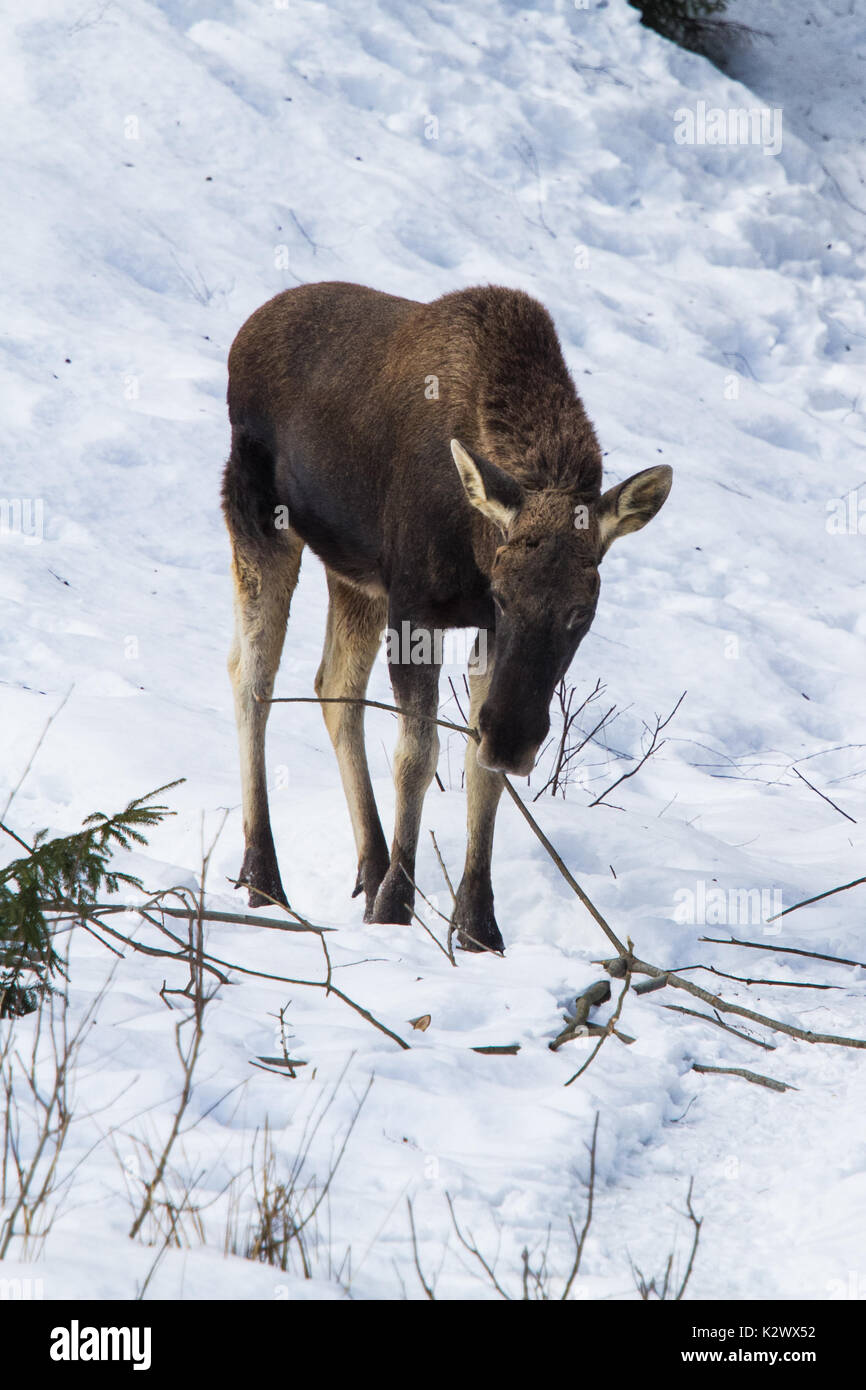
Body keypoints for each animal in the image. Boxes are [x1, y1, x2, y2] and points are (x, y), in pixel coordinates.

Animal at [222, 282, 671, 951]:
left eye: (583, 612)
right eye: (505, 594)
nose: (514, 738)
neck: (477, 542)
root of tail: (246, 332)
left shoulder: (469, 627)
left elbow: (477, 768)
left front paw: (478, 925)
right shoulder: (417, 608)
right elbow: (418, 755)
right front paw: (396, 906)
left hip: (354, 574)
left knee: (333, 685)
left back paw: (369, 868)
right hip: (258, 516)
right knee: (252, 678)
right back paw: (266, 878)